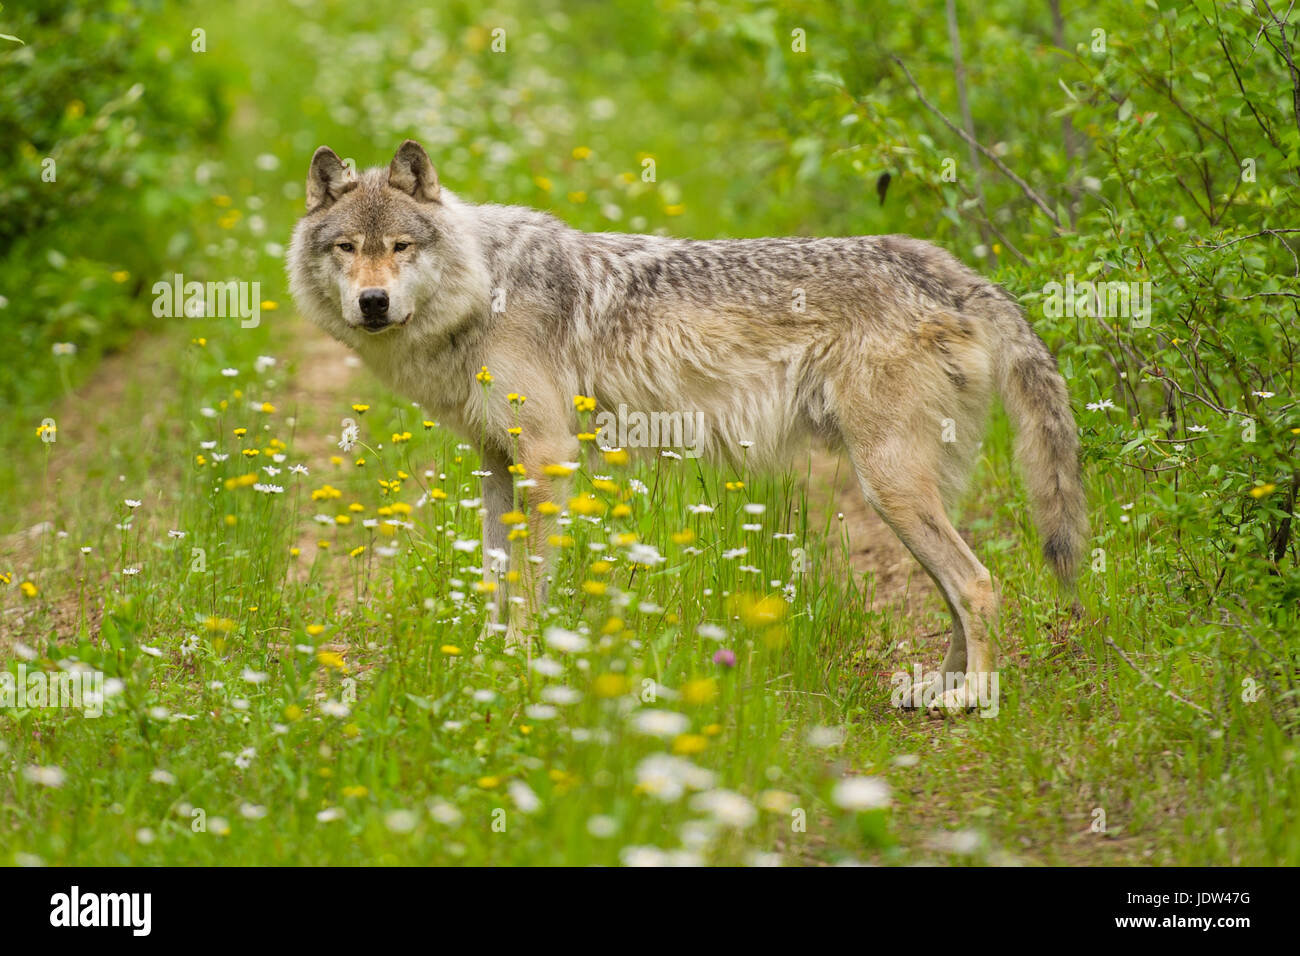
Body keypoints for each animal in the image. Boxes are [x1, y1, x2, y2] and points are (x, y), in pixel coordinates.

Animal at [288, 140, 1087, 710]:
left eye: (400, 247)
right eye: (347, 248)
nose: (371, 303)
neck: (483, 289)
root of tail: (948, 268)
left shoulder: (547, 459)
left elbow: (530, 587)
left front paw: (519, 664)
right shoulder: (496, 463)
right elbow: (493, 577)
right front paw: (483, 660)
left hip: (889, 485)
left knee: (979, 584)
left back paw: (974, 699)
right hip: (909, 492)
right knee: (958, 590)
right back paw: (940, 688)